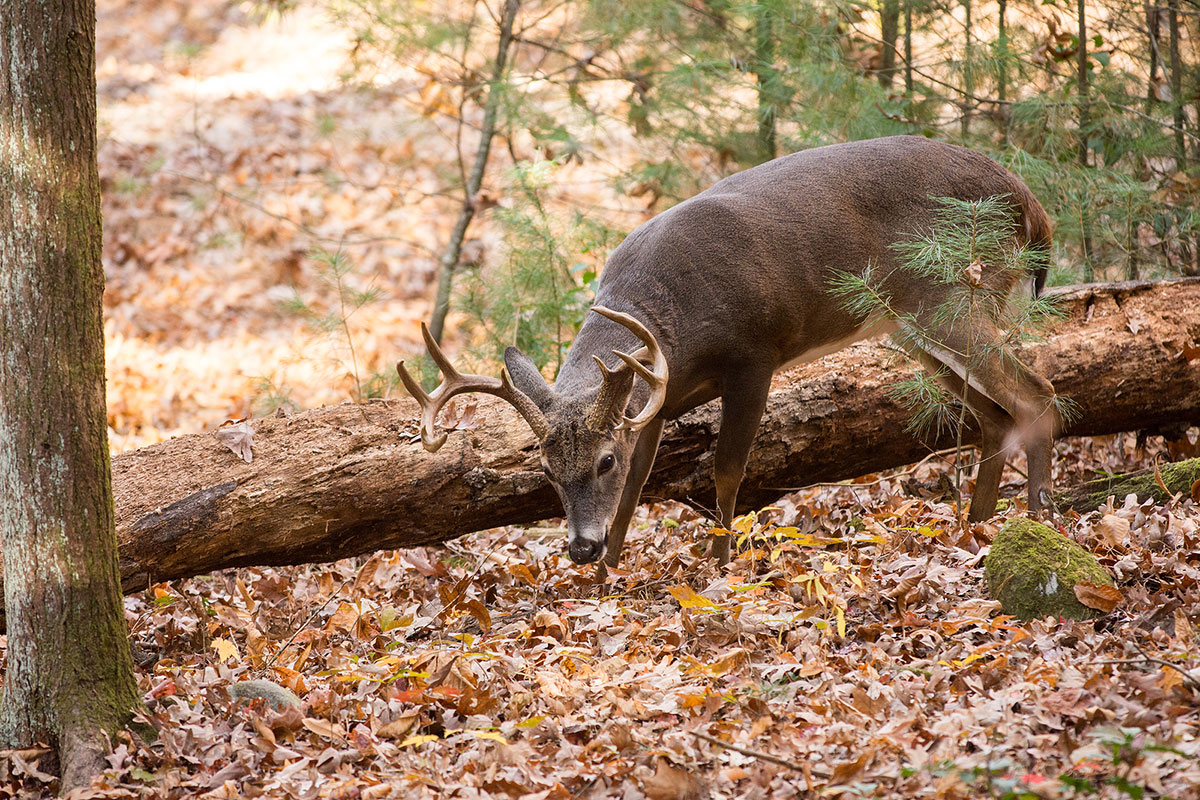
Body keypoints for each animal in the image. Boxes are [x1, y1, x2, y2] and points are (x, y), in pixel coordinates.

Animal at [398, 136, 1059, 568]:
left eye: (603, 460)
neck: (671, 320)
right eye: (546, 470)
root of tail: (1029, 202)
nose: (581, 549)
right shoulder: (656, 396)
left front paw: (718, 561)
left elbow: (727, 467)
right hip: (910, 328)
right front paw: (611, 576)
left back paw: (1040, 519)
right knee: (991, 413)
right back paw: (978, 525)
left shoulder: (754, 356)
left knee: (1038, 393)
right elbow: (640, 485)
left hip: (948, 298)